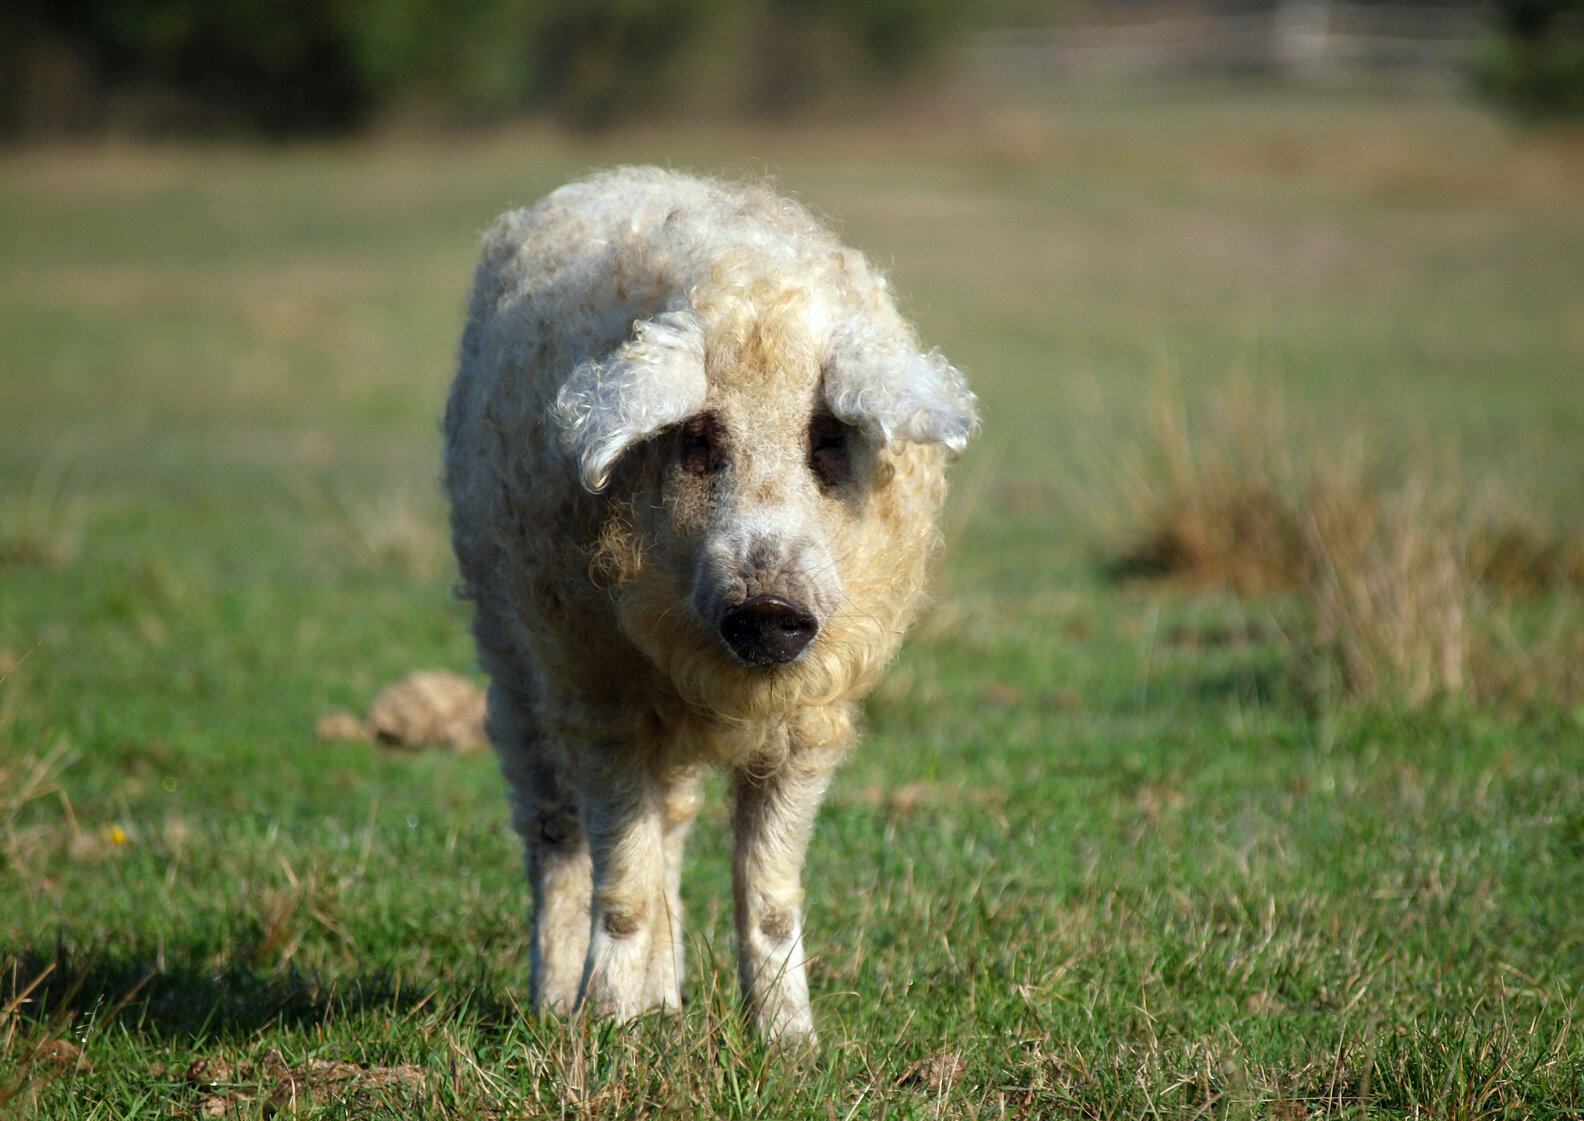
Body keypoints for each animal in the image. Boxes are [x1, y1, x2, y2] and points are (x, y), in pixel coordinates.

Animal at [443, 166, 976, 1042]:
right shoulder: (603, 695)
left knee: (674, 823)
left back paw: (667, 999)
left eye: (827, 439)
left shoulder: (813, 718)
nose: (768, 605)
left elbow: (770, 891)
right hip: (509, 650)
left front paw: (792, 1046)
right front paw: (607, 1032)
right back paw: (562, 1005)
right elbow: (620, 882)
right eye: (698, 437)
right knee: (555, 832)